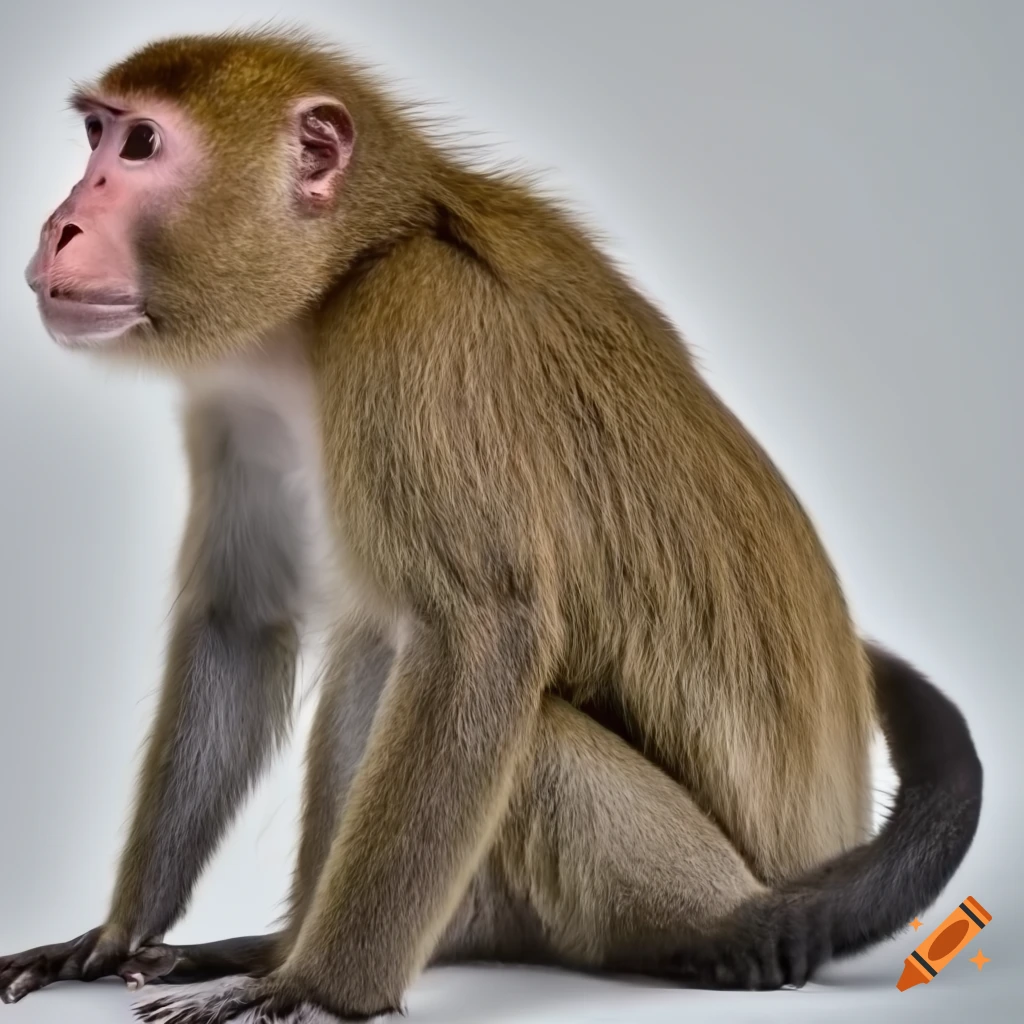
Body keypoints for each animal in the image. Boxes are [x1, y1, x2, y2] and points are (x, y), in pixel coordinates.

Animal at [0, 28, 981, 1023]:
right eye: (96, 134)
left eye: (140, 146)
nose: (59, 224)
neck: (340, 283)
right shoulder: (236, 392)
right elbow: (241, 618)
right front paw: (122, 930)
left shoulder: (415, 321)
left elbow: (483, 635)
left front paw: (319, 989)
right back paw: (273, 942)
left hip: (680, 884)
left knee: (475, 690)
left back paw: (722, 938)